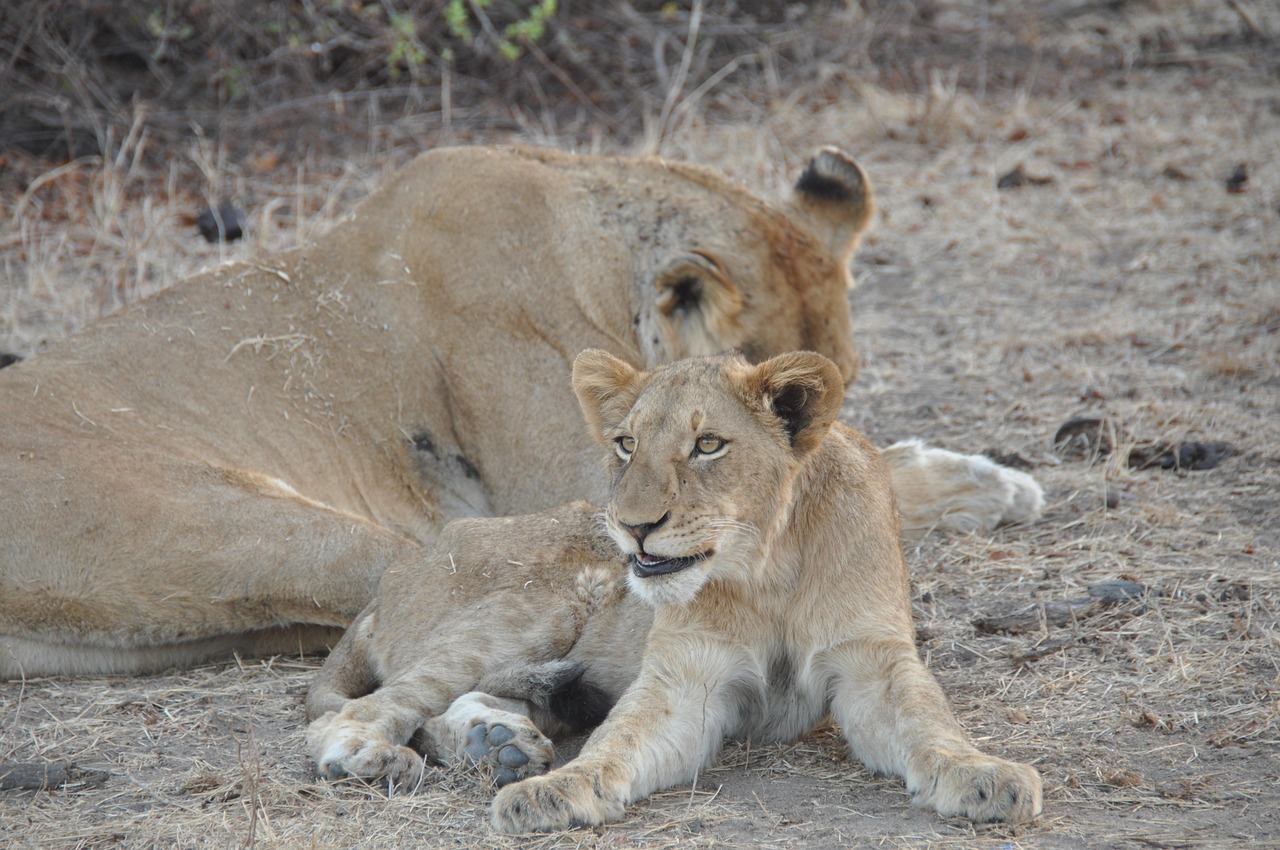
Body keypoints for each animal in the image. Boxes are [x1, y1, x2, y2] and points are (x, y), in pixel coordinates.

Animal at [304, 349, 1044, 830]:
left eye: (708, 445)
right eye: (626, 444)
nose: (633, 526)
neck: (766, 569)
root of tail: (392, 579)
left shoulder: (873, 663)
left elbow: (930, 722)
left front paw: (984, 776)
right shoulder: (686, 678)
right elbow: (618, 742)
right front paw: (557, 791)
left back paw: (500, 743)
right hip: (536, 605)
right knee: (363, 710)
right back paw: (370, 754)